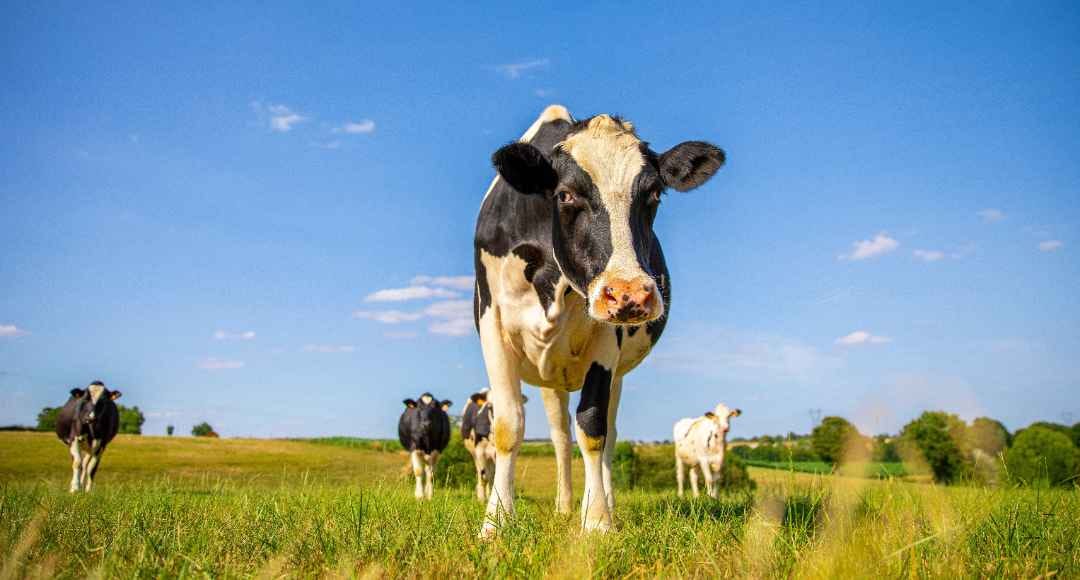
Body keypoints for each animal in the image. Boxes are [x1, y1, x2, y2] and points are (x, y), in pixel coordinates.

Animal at [473, 105, 726, 535]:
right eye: (566, 194)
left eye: (654, 194)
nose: (631, 293)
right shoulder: (492, 323)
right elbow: (508, 426)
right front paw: (496, 522)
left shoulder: (607, 337)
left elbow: (592, 428)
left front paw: (597, 521)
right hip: (550, 376)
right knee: (559, 436)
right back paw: (562, 505)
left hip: (617, 372)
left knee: (607, 434)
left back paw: (603, 501)